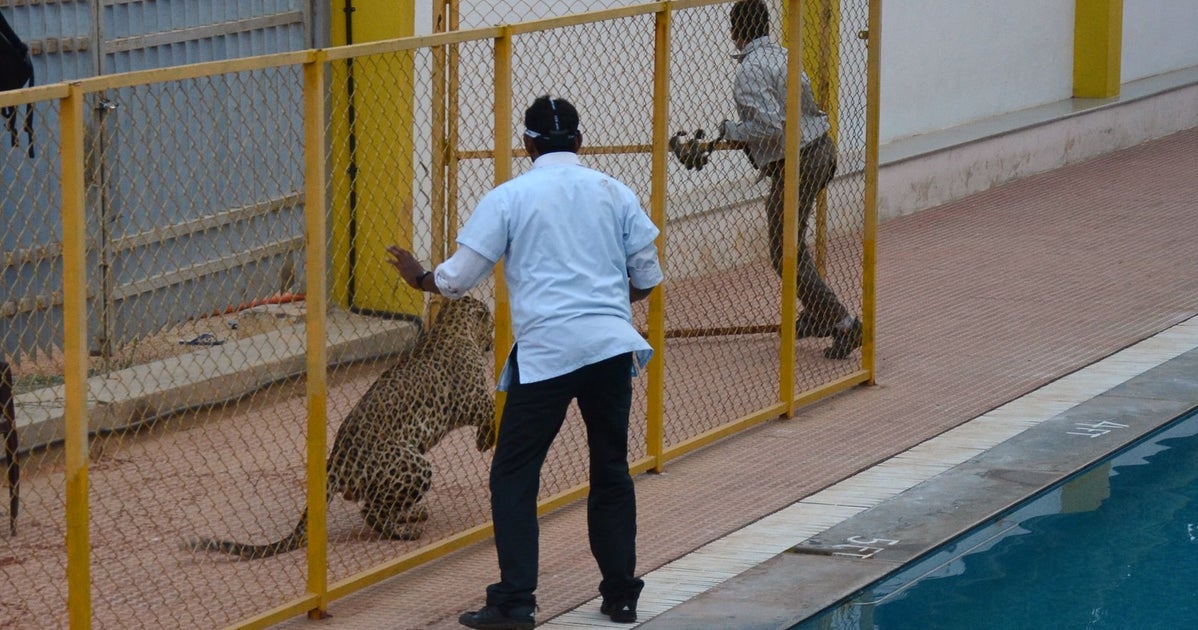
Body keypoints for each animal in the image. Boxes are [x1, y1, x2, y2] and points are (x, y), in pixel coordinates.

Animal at [187, 295, 496, 559]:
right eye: (491, 324)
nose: (492, 341)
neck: (453, 327)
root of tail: (336, 460)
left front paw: (482, 441)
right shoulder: (474, 401)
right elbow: (493, 407)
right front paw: (486, 440)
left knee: (377, 504)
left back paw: (411, 514)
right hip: (414, 463)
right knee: (372, 511)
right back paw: (407, 529)